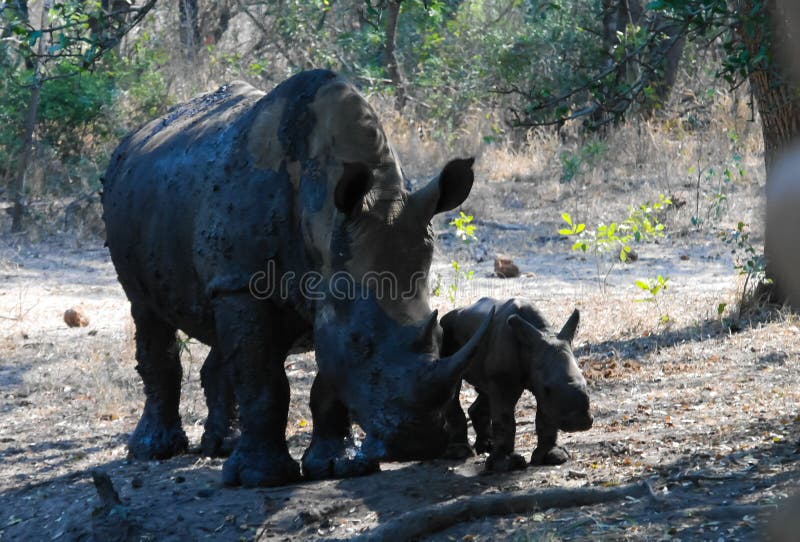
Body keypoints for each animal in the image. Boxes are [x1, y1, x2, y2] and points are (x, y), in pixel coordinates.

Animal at [101, 69, 493, 487]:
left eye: (439, 337)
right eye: (361, 343)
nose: (419, 441)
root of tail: (132, 137)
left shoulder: (322, 282)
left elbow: (327, 381)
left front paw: (339, 466)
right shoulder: (246, 282)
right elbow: (264, 381)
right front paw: (263, 478)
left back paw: (221, 446)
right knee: (147, 312)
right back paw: (154, 450)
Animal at [440, 298, 592, 472]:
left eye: (586, 384)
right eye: (548, 389)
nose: (579, 423)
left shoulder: (538, 379)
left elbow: (545, 416)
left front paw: (552, 456)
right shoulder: (509, 380)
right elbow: (504, 418)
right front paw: (506, 464)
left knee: (485, 390)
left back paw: (487, 446)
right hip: (446, 334)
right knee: (453, 380)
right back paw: (460, 452)